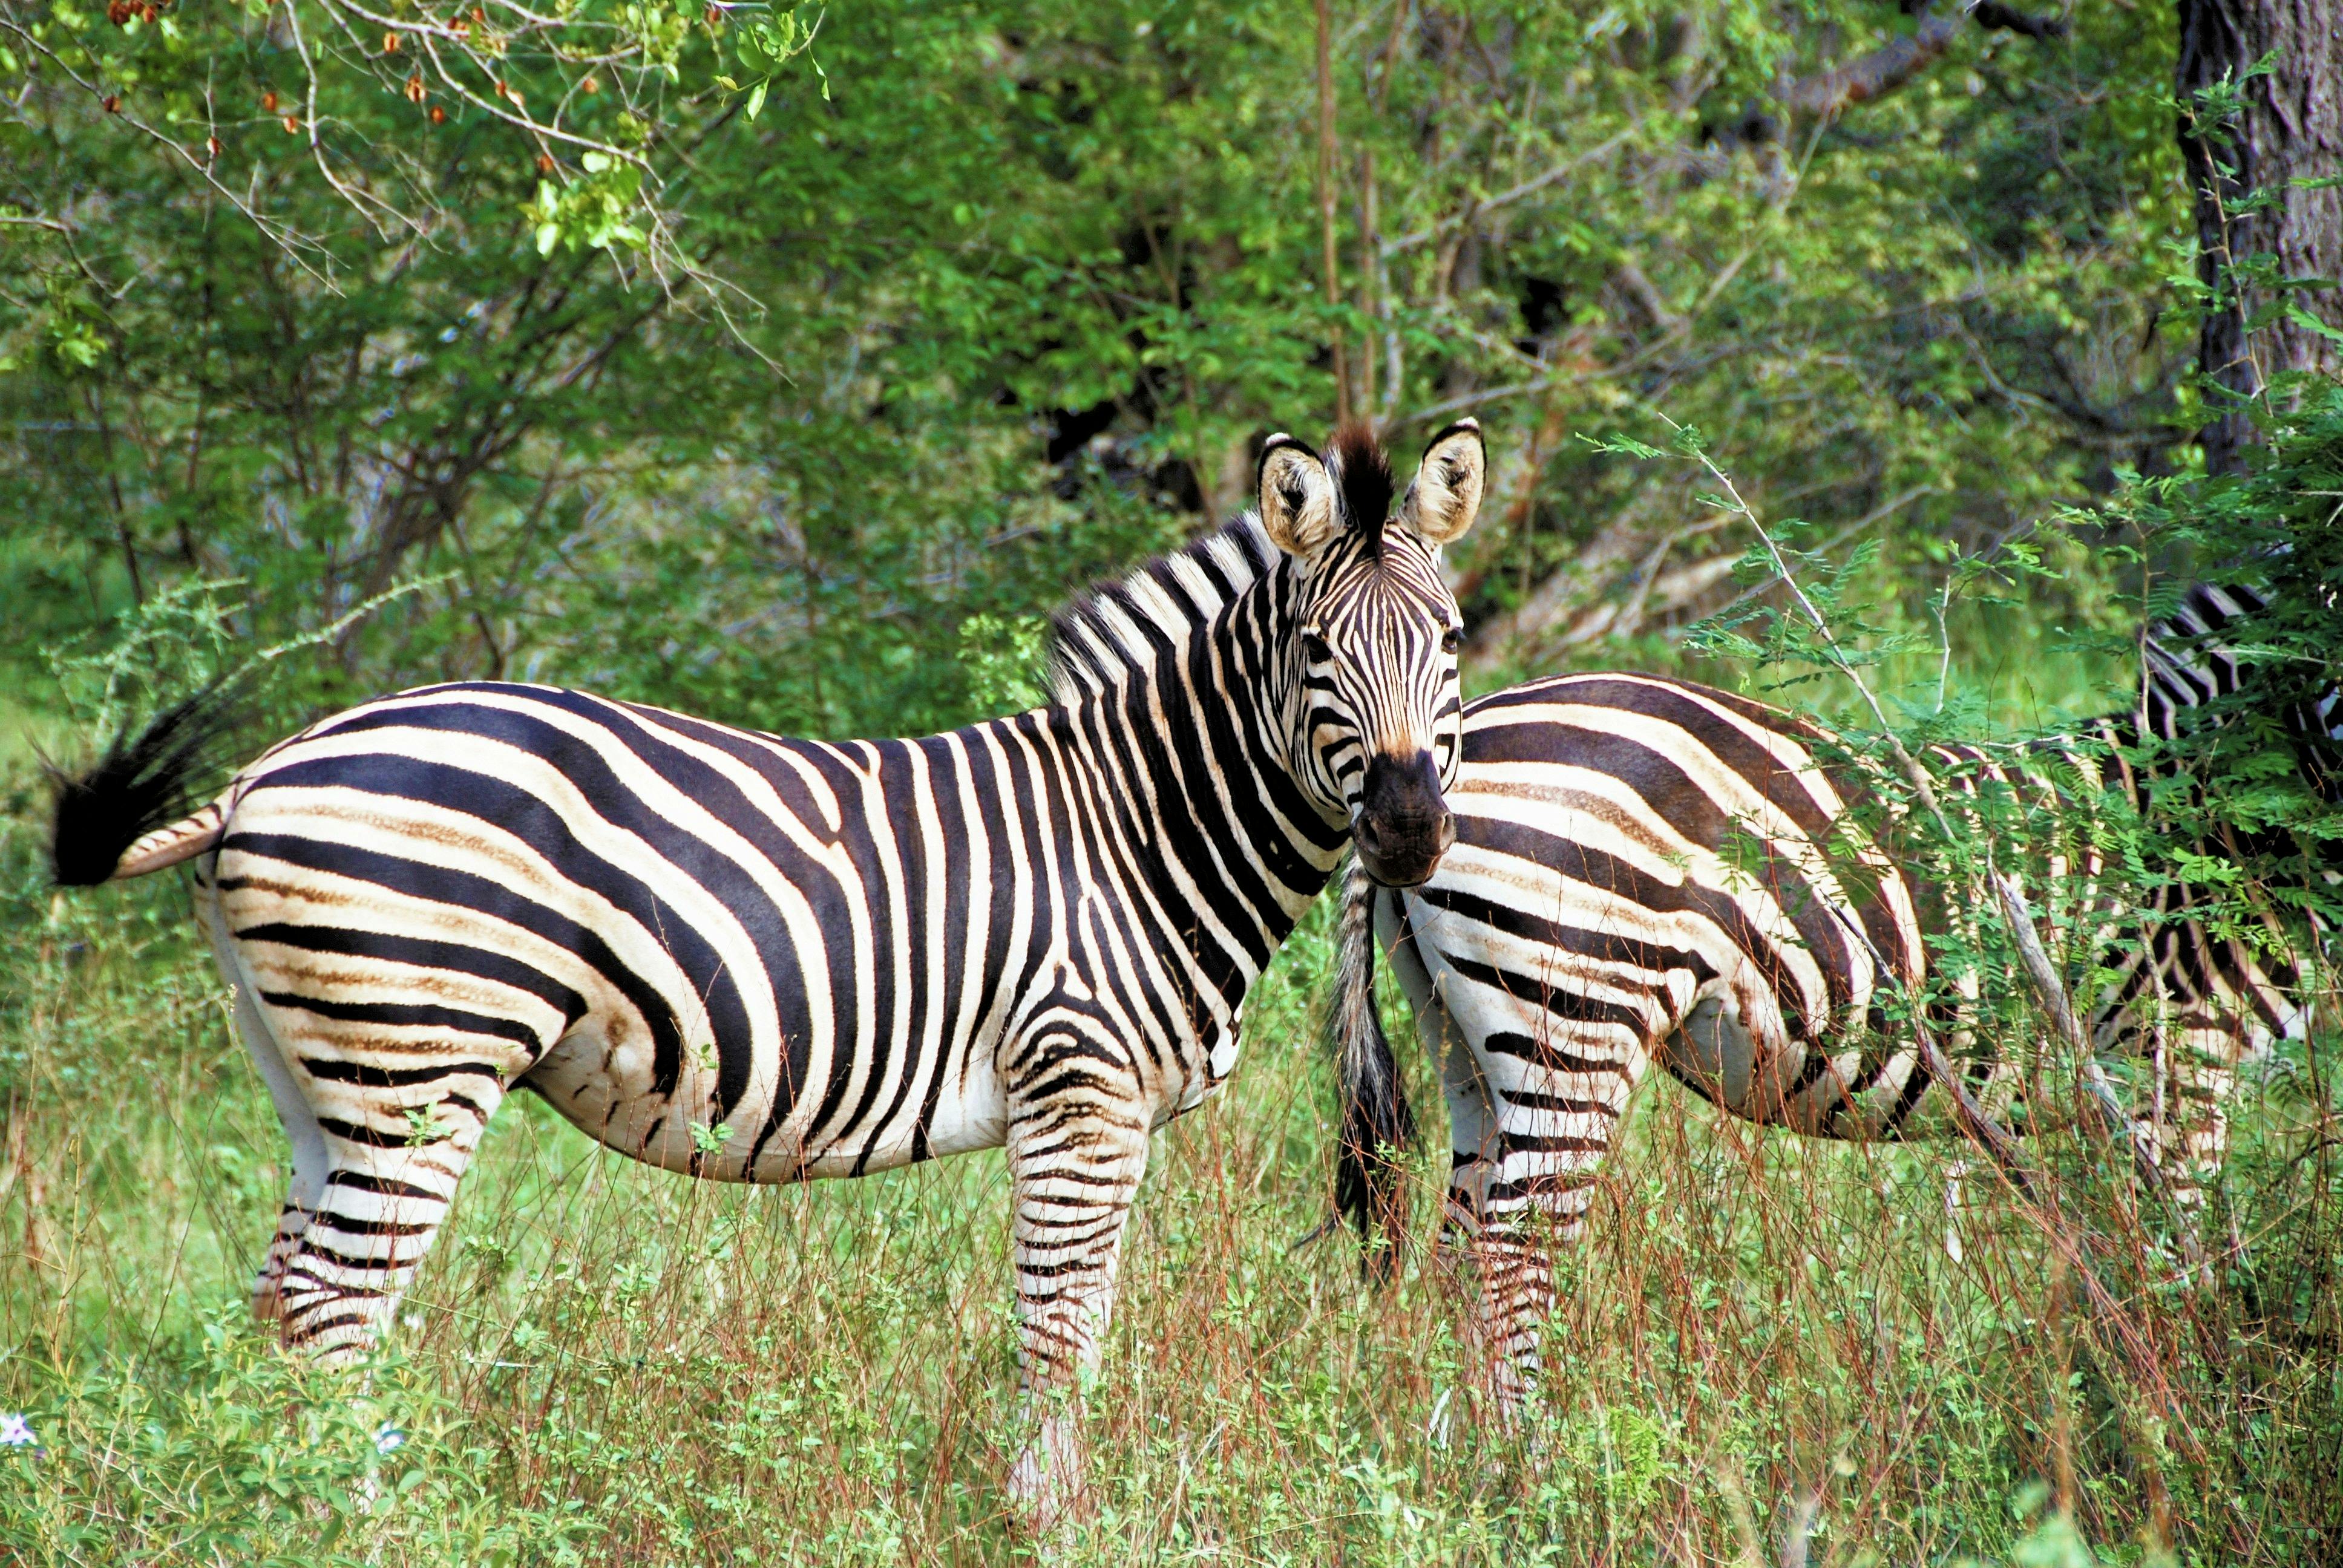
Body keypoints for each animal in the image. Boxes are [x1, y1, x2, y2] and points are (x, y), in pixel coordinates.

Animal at [48, 419, 1488, 1524]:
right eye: (1316, 655)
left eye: (1452, 642)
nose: (1412, 831)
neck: (1139, 825)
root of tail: (260, 772)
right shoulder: (1077, 1090)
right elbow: (1058, 1331)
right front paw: (1050, 1523)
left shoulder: (1107, 1112)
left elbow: (1076, 1326)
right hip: (420, 1061)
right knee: (335, 1316)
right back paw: (356, 1528)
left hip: (321, 1077)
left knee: (285, 1307)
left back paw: (282, 1509)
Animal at [1324, 580, 2330, 1409]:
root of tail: (1422, 772)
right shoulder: (2181, 1053)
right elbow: (2180, 1257)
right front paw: (2189, 1417)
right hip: (1576, 1014)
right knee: (1515, 1259)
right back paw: (1534, 1485)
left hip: (1463, 1036)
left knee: (1459, 1251)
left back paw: (1459, 1481)